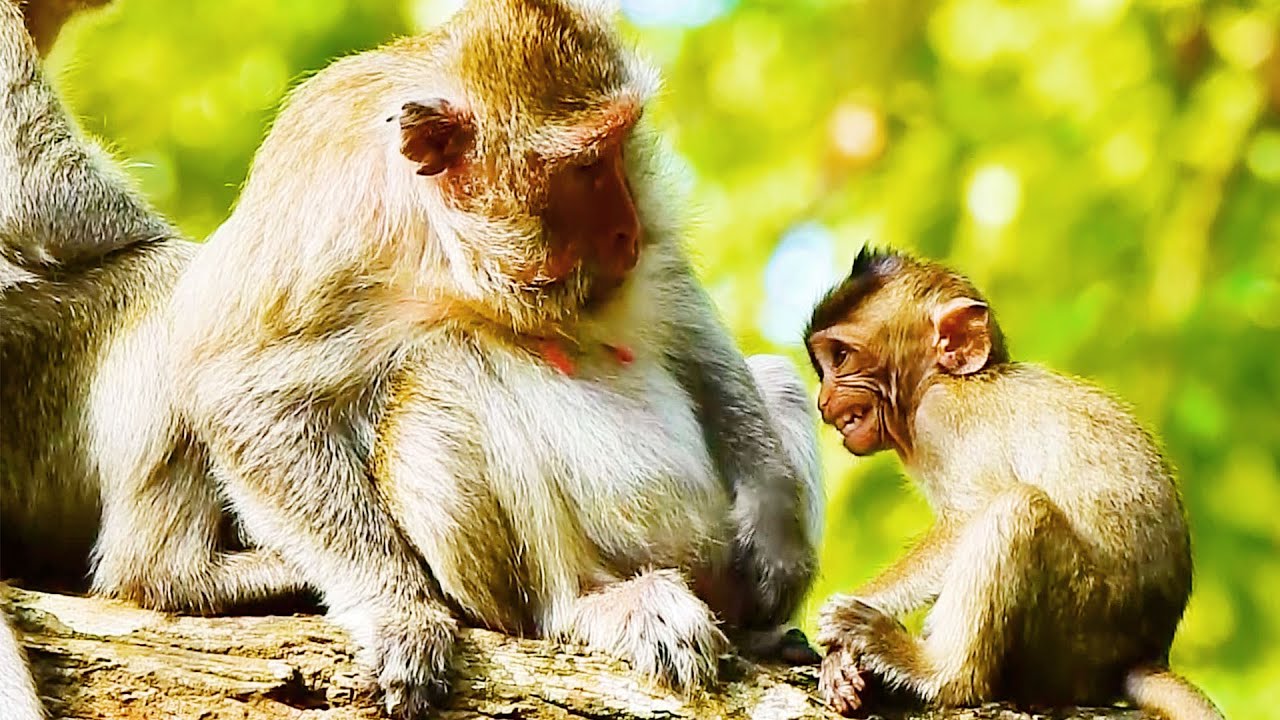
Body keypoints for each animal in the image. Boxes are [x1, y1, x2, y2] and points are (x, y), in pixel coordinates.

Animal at [166, 0, 822, 715]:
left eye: (621, 146)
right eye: (584, 168)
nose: (628, 232)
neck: (445, 237)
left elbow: (676, 305)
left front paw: (775, 526)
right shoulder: (324, 222)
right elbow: (240, 394)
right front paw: (400, 612)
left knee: (776, 380)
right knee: (450, 372)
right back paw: (590, 606)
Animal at [804, 247, 1222, 720]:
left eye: (841, 356)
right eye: (824, 365)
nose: (823, 401)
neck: (942, 380)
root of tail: (1139, 656)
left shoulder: (941, 416)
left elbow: (968, 517)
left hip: (1077, 626)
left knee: (1018, 507)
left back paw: (931, 667)